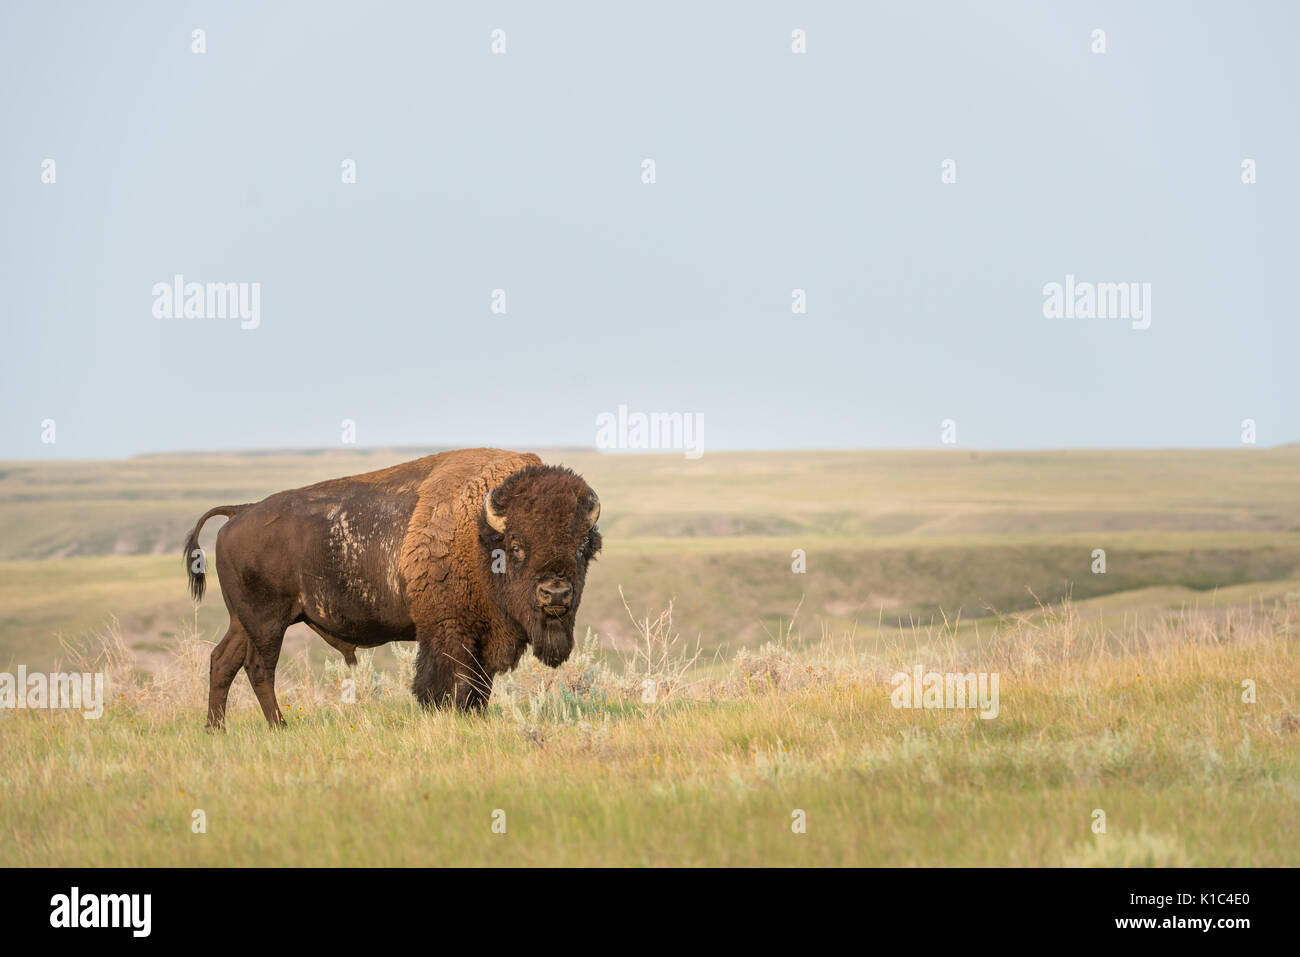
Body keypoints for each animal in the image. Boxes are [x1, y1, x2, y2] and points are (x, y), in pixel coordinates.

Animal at [183, 448, 601, 728]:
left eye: (582, 546)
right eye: (516, 546)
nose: (555, 594)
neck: (480, 535)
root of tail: (240, 512)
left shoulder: (482, 636)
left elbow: (480, 685)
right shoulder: (449, 632)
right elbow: (451, 682)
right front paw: (447, 714)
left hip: (244, 621)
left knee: (222, 661)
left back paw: (216, 728)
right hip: (268, 622)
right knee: (259, 667)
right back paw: (279, 726)